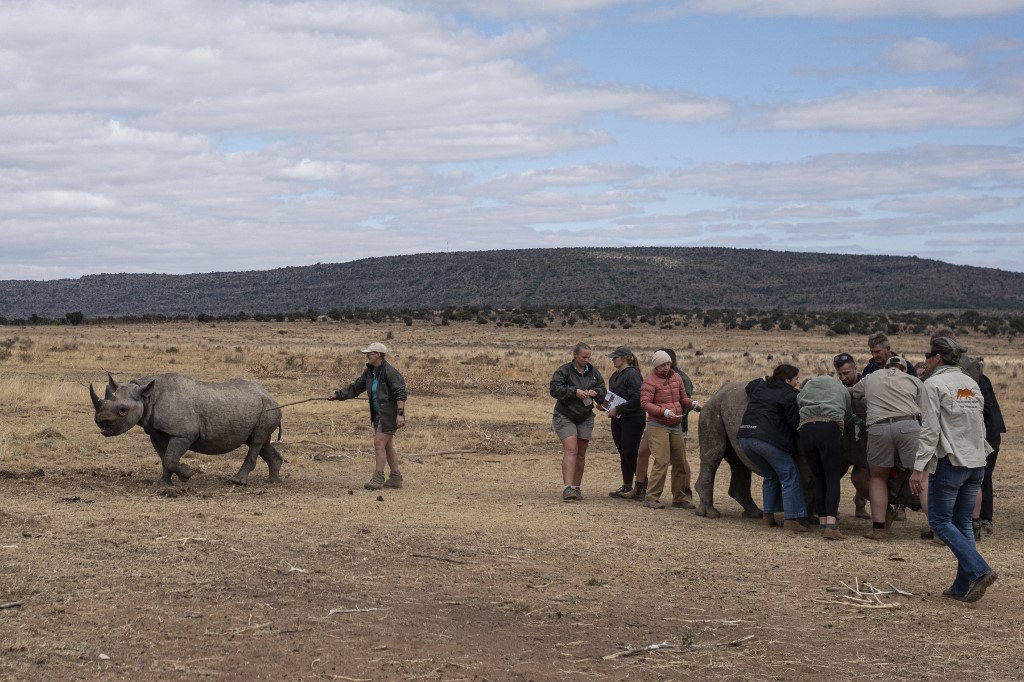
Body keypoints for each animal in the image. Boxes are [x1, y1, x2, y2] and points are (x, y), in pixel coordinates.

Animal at [90, 373, 283, 486]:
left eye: (123, 410)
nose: (100, 421)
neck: (147, 397)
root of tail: (270, 395)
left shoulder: (183, 434)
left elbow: (170, 458)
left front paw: (186, 474)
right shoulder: (156, 433)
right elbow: (165, 458)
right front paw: (163, 484)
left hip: (267, 408)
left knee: (257, 441)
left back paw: (237, 482)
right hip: (261, 407)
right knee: (260, 441)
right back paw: (273, 481)